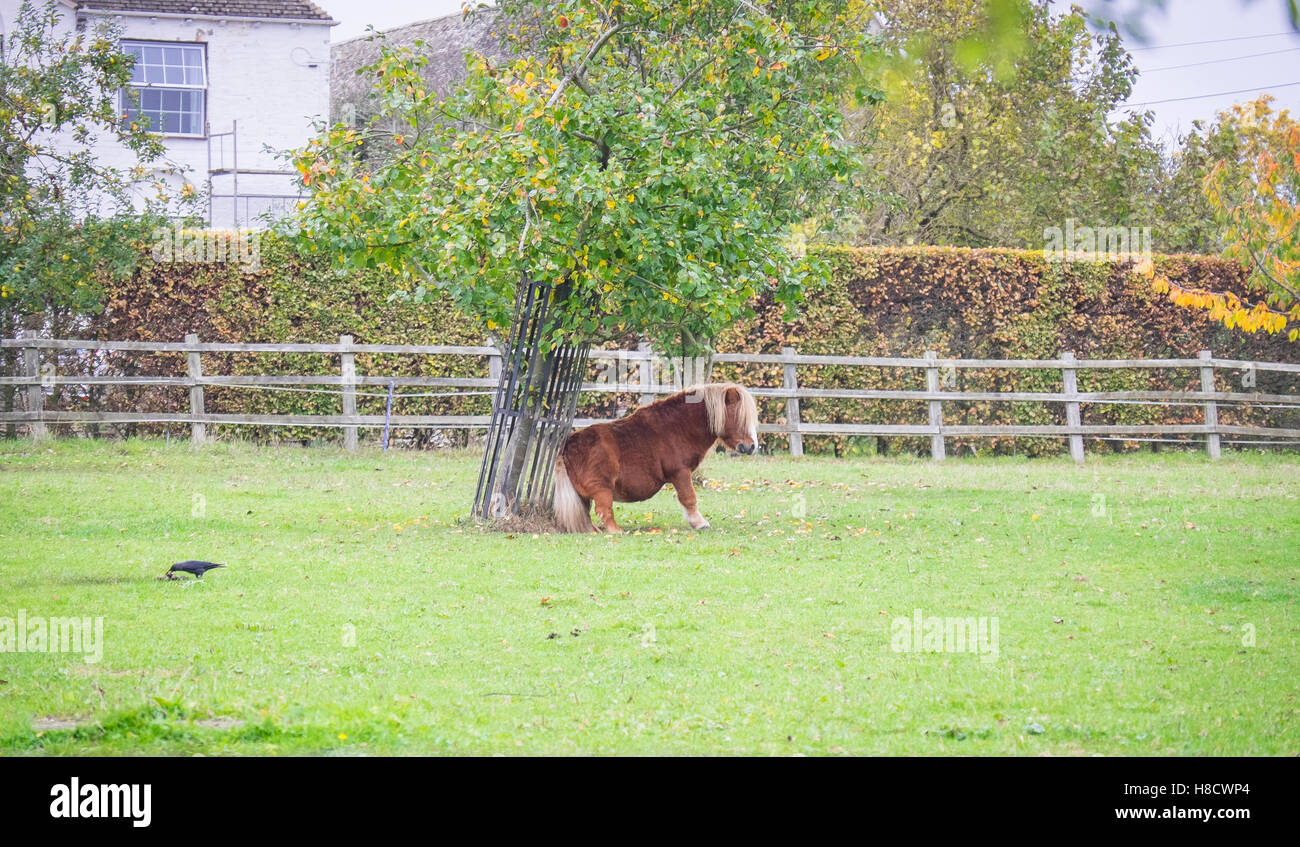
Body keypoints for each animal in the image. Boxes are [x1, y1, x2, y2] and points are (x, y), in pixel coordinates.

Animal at [553, 383, 760, 533]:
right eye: (739, 416)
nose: (751, 447)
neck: (679, 427)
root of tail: (568, 446)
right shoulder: (680, 473)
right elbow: (689, 498)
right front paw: (699, 523)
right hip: (602, 488)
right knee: (604, 511)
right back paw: (616, 531)